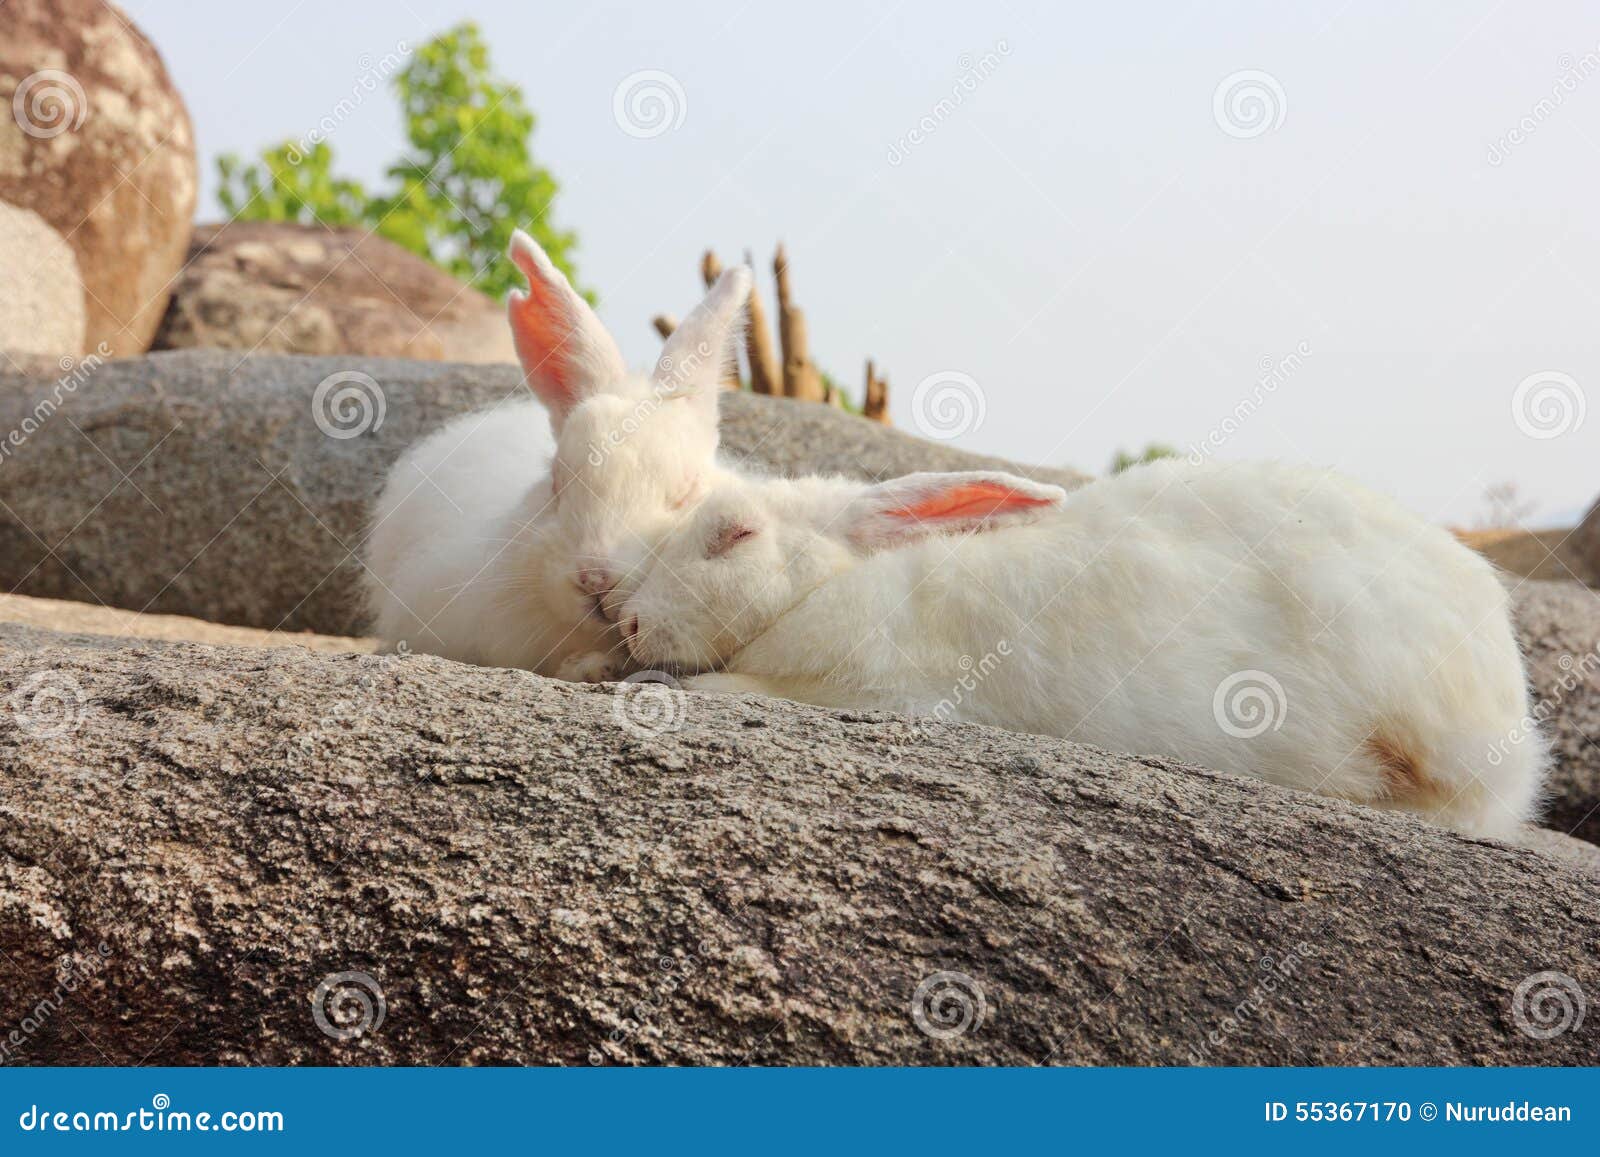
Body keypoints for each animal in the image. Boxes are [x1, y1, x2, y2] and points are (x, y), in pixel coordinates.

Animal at [616, 458, 1546, 839]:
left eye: (733, 535)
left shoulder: (889, 685)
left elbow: (750, 685)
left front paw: (683, 686)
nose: (626, 625)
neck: (833, 580)